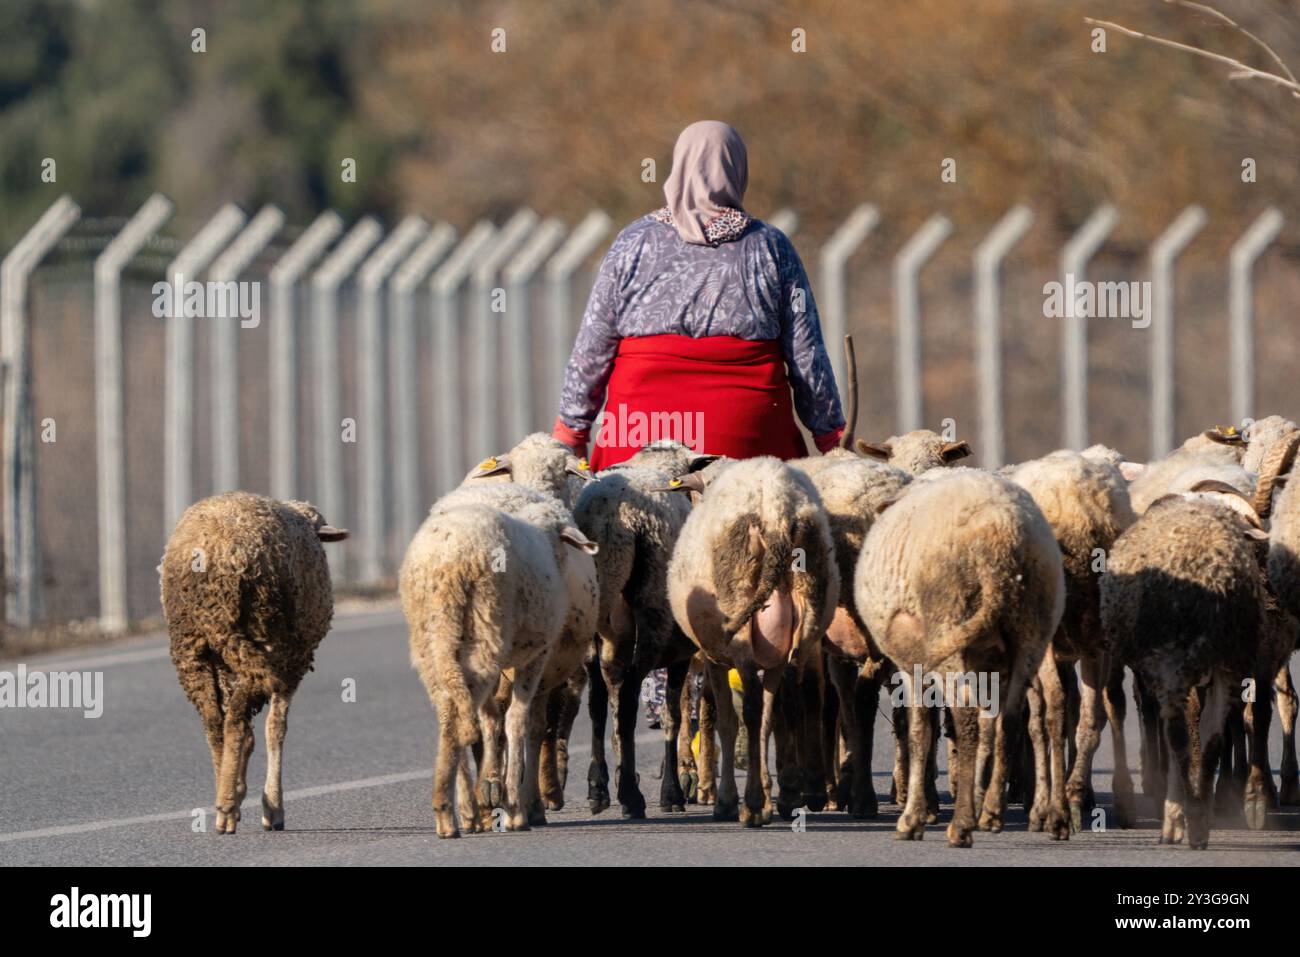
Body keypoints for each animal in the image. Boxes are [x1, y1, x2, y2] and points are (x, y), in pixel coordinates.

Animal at [161, 492, 348, 835]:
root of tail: (214, 555)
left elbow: (249, 732)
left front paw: (241, 789)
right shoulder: (292, 662)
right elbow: (275, 728)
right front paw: (272, 807)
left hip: (193, 648)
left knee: (215, 722)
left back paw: (226, 798)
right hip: (263, 641)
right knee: (235, 720)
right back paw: (228, 803)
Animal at [400, 489, 598, 837]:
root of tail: (448, 562)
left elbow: (495, 719)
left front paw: (498, 791)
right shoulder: (537, 655)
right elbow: (517, 721)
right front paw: (515, 806)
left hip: (431, 641)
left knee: (449, 710)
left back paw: (455, 809)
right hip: (484, 629)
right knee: (463, 712)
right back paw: (466, 808)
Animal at [667, 456, 839, 825]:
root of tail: (776, 510)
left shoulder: (715, 658)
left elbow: (728, 722)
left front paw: (730, 801)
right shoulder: (772, 662)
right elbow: (769, 720)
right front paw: (771, 795)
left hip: (741, 624)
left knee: (749, 709)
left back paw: (750, 805)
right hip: (806, 625)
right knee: (791, 703)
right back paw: (788, 795)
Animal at [854, 469, 1064, 846]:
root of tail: (1001, 533)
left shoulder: (914, 665)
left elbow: (919, 731)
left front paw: (912, 819)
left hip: (949, 620)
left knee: (967, 716)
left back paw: (962, 824)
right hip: (1032, 629)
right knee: (1014, 718)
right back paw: (995, 812)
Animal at [1004, 451, 1135, 837]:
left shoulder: (1098, 647)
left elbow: (1090, 722)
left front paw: (1073, 798)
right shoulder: (1050, 647)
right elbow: (1054, 719)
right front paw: (1054, 808)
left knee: (1104, 707)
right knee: (1047, 718)